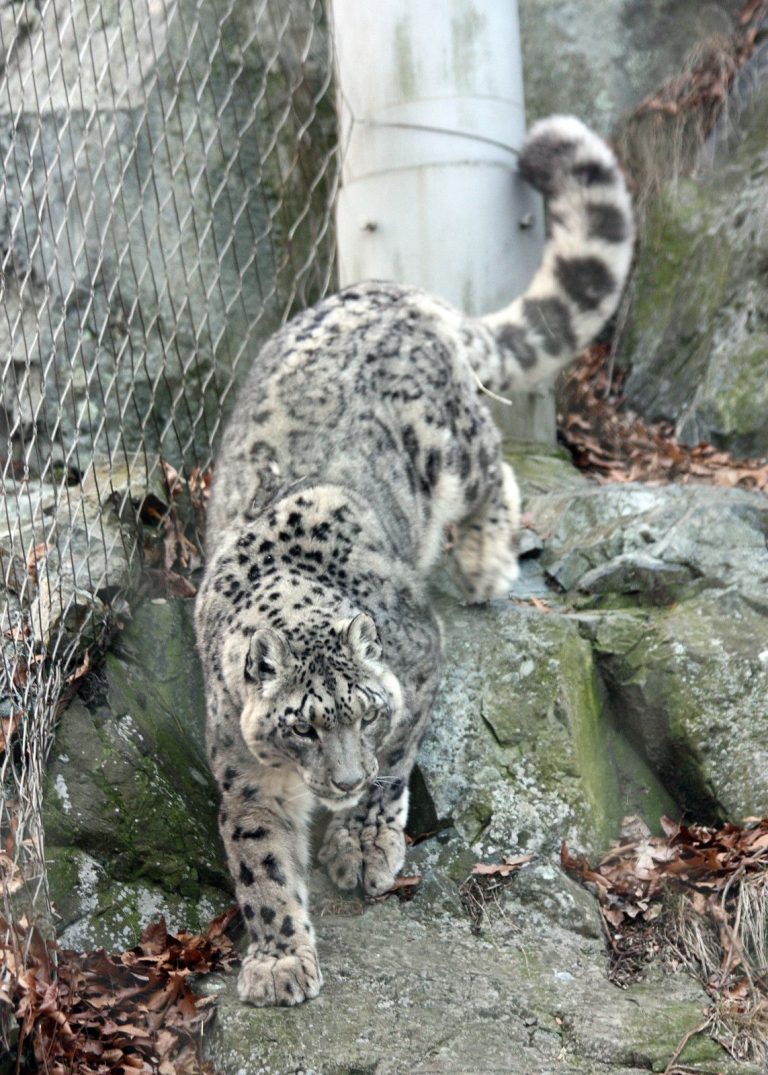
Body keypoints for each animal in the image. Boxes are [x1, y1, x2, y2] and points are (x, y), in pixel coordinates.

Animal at [194, 115, 634, 1006]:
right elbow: (258, 860)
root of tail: (399, 290)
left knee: (496, 465)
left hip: (451, 444)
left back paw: (484, 563)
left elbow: (400, 757)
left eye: (365, 713)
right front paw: (279, 958)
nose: (341, 780)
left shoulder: (416, 658)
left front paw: (362, 842)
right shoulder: (243, 768)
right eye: (301, 725)